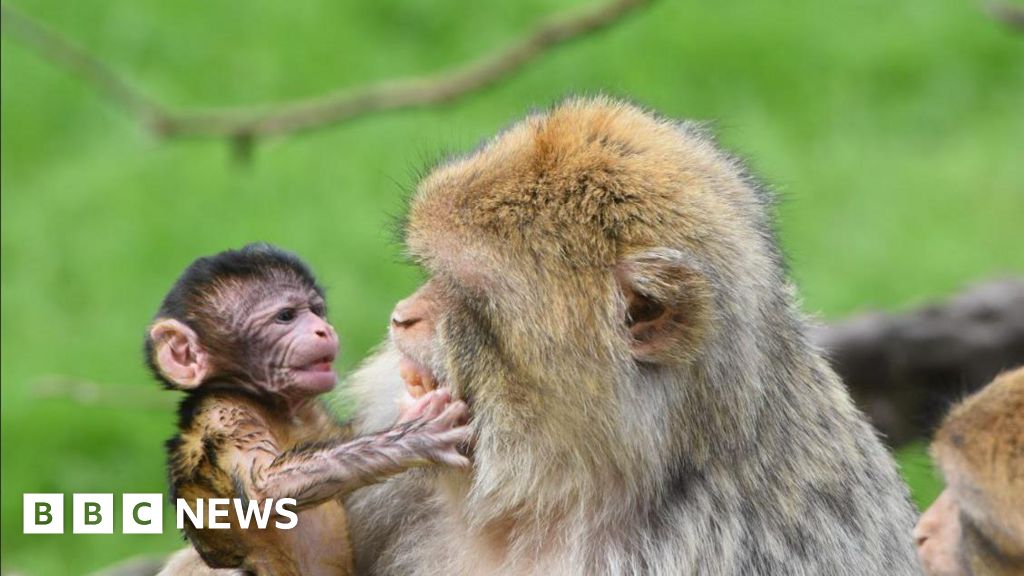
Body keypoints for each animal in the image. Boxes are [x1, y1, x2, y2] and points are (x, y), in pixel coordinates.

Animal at [145, 244, 470, 576]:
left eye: (316, 310)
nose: (323, 330)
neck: (274, 406)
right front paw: (417, 436)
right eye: (285, 316)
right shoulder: (226, 414)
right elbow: (264, 489)